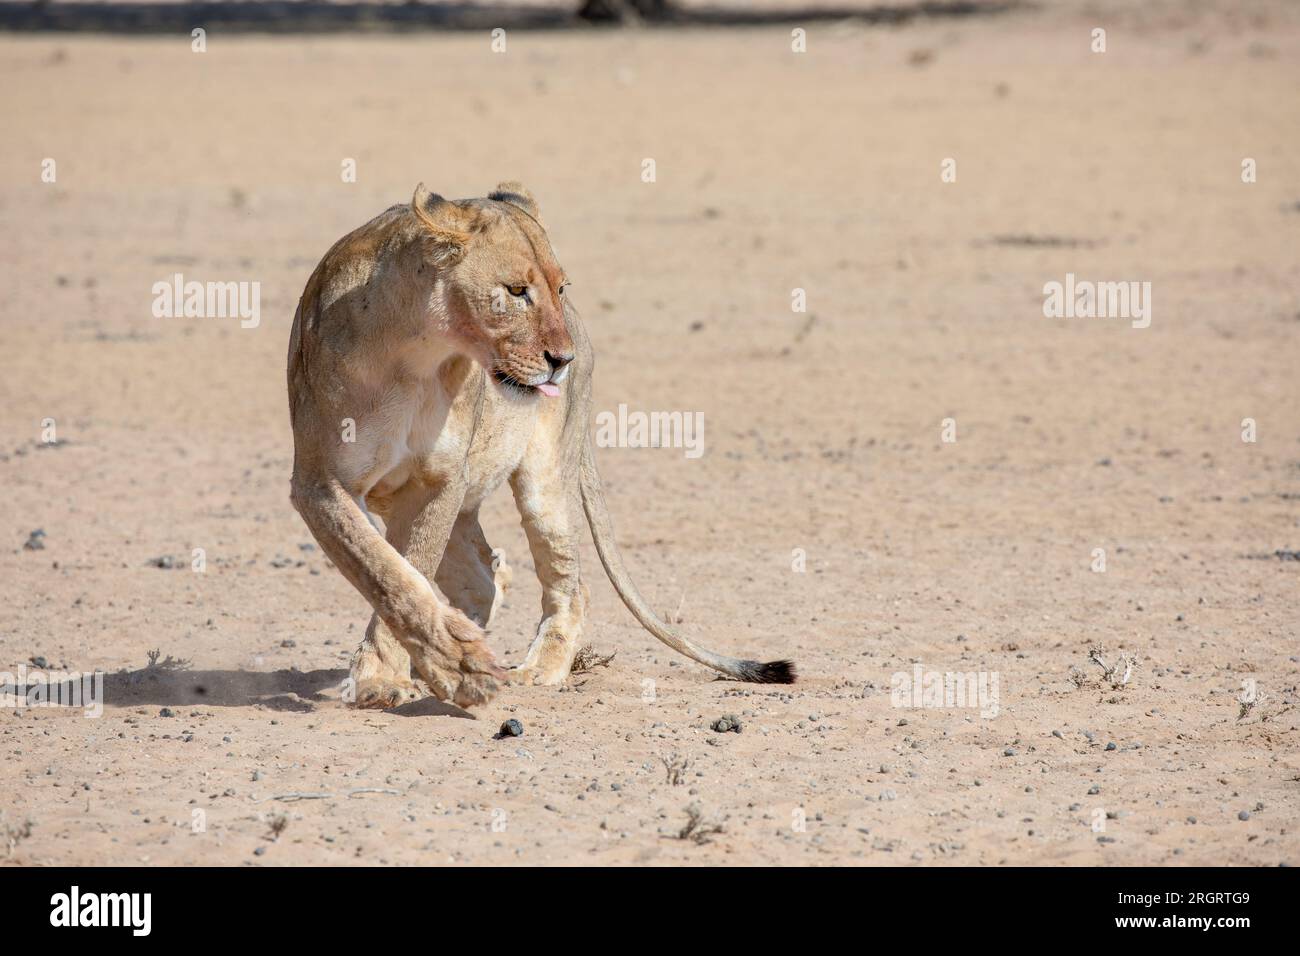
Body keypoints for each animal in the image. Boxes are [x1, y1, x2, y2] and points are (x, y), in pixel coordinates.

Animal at [287, 182, 795, 709]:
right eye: (516, 291)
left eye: (560, 287)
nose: (561, 360)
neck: (415, 356)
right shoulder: (320, 481)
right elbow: (383, 570)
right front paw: (428, 667)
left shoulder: (440, 480)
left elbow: (408, 569)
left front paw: (400, 671)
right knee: (483, 579)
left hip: (543, 481)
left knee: (570, 584)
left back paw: (538, 669)